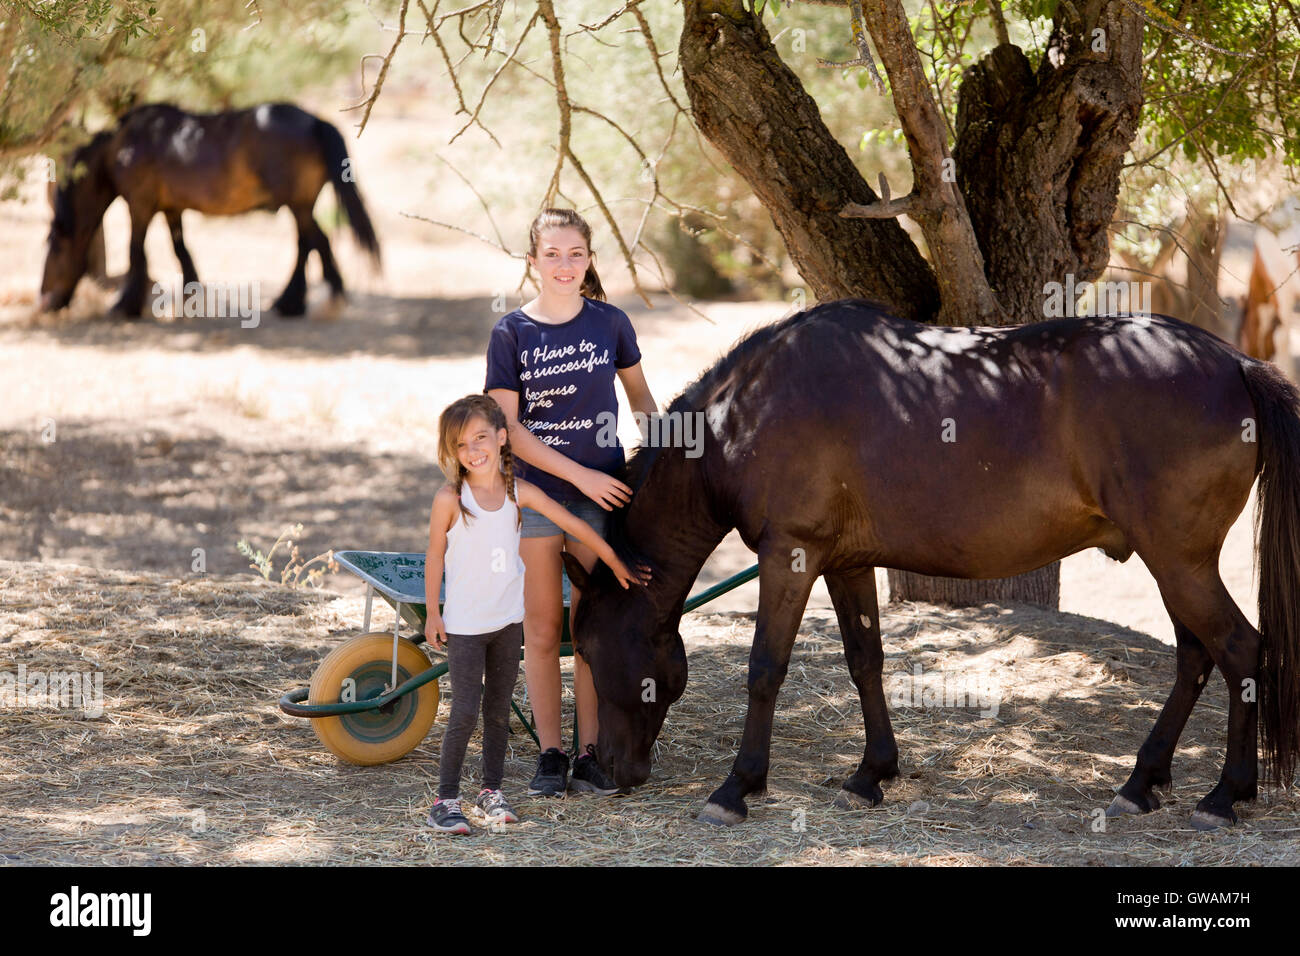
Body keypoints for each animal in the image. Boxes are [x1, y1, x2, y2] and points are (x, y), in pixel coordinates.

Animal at [40, 102, 381, 318]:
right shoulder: (171, 209)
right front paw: (191, 298)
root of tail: (315, 121)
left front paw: (125, 306)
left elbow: (136, 251)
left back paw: (310, 301)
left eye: (55, 250)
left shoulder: (139, 205)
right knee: (311, 243)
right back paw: (301, 301)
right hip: (301, 205)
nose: (44, 301)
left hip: (297, 205)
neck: (125, 143)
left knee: (313, 242)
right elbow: (181, 250)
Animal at [561, 299, 1300, 831]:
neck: (750, 409)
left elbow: (765, 668)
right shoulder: (843, 562)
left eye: (591, 654)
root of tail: (1236, 362)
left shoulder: (789, 554)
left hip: (1179, 561)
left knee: (1240, 650)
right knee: (1196, 658)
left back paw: (1224, 795)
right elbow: (865, 661)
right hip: (1173, 562)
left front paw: (737, 786)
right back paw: (1142, 782)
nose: (605, 771)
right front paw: (872, 774)